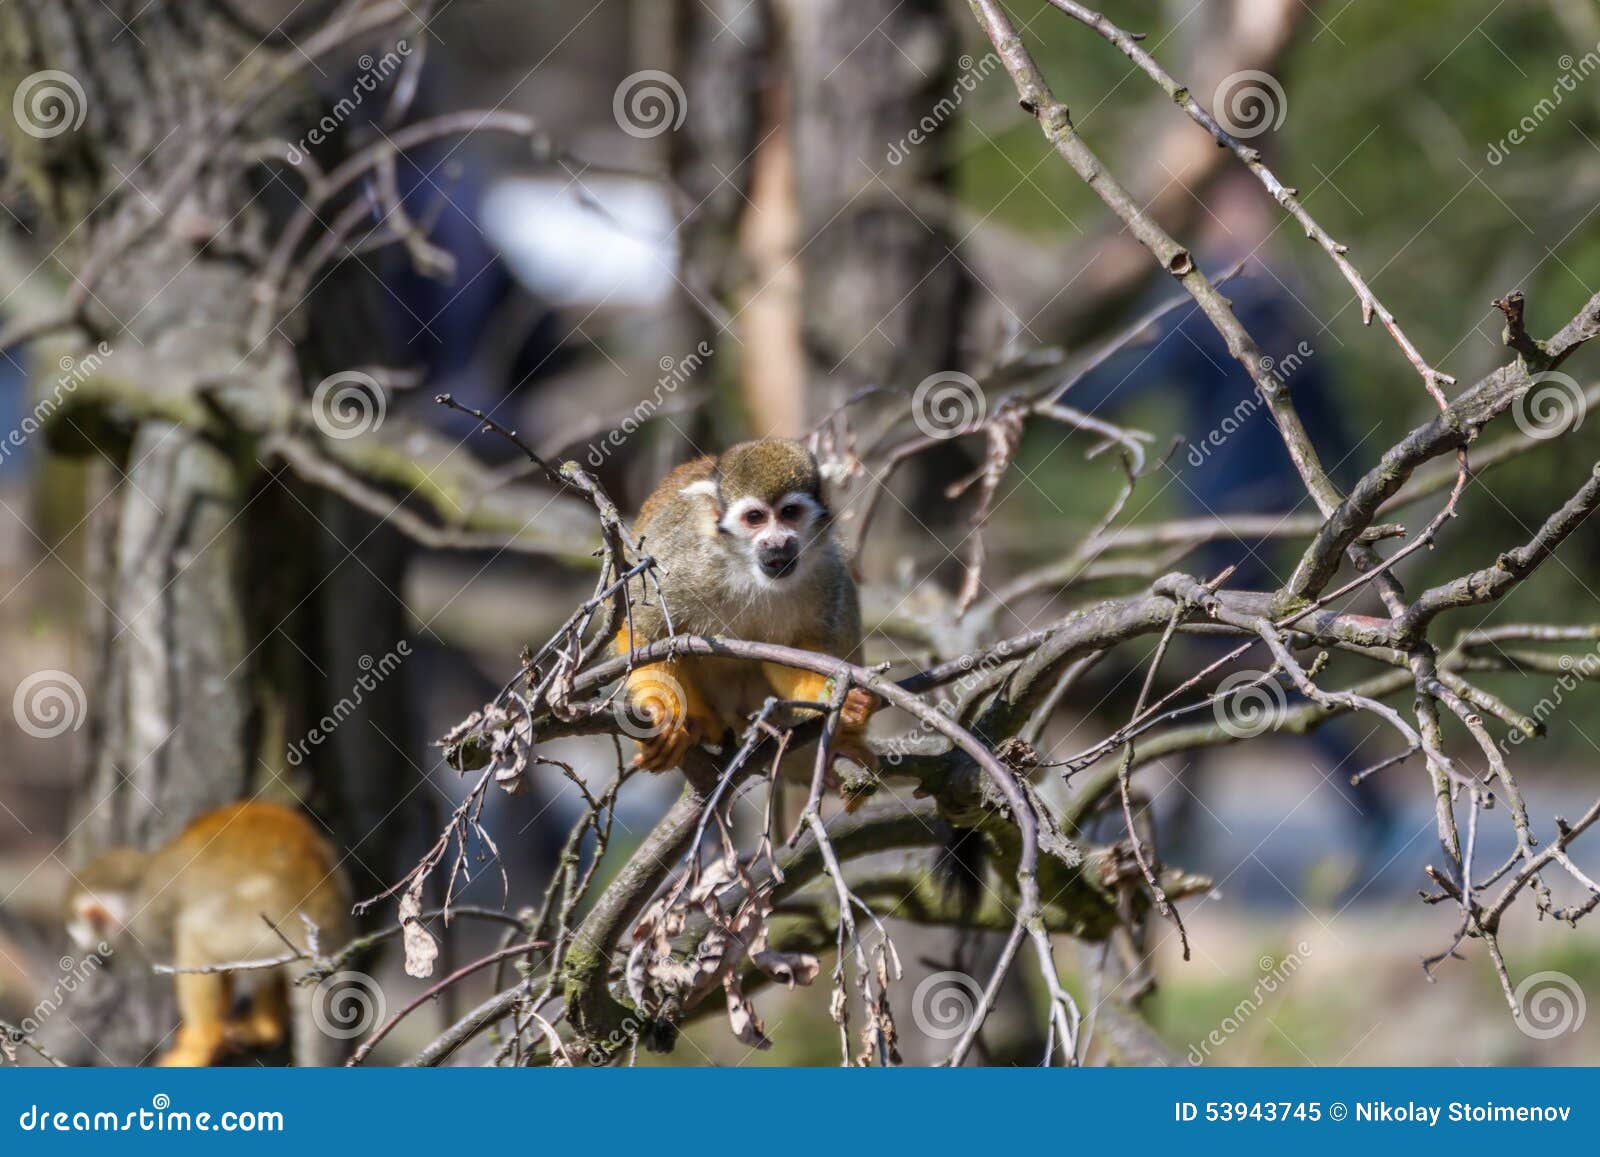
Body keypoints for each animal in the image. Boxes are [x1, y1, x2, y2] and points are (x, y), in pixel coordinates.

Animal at [64, 800, 352, 1067]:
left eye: (99, 954)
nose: (103, 966)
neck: (137, 886)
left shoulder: (148, 923)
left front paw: (202, 1037)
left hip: (251, 916)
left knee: (194, 935)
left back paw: (202, 1041)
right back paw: (265, 1028)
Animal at [616, 438, 878, 776]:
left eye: (790, 513)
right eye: (755, 518)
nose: (777, 542)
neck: (747, 570)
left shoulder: (824, 570)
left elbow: (791, 652)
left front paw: (836, 698)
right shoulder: (684, 562)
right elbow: (643, 631)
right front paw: (668, 713)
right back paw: (699, 723)